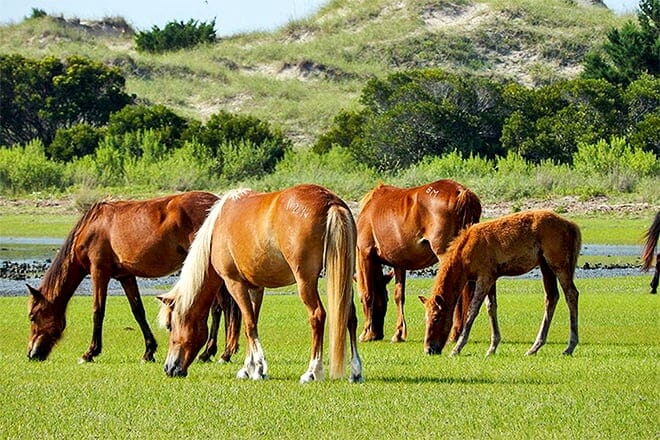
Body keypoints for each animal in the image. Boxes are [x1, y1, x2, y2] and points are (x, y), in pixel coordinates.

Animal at [27, 191, 241, 363]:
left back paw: (218, 353)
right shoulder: (126, 276)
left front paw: (90, 353)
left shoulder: (99, 272)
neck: (92, 227)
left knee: (221, 307)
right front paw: (149, 351)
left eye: (32, 316)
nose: (31, 354)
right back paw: (215, 352)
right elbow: (138, 311)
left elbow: (98, 311)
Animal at [159, 184, 363, 383]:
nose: (169, 368)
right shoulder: (255, 288)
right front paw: (247, 368)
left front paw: (258, 368)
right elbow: (252, 323)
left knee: (317, 315)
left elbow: (249, 324)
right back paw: (355, 371)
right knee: (350, 317)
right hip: (343, 278)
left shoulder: (235, 284)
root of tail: (330, 201)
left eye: (171, 326)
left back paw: (312, 371)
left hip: (305, 281)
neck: (217, 228)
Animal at [355, 179, 482, 343]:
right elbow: (399, 296)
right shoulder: (399, 264)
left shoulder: (365, 255)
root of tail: (461, 191)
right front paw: (398, 333)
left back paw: (454, 333)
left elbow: (367, 293)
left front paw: (365, 333)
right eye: (385, 298)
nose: (378, 334)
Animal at [418, 210, 581, 357]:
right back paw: (534, 347)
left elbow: (473, 310)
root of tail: (572, 226)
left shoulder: (484, 276)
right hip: (545, 265)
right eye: (425, 318)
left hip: (558, 263)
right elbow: (491, 307)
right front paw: (492, 347)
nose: (429, 349)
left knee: (571, 294)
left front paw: (457, 348)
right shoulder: (492, 277)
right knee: (551, 297)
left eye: (436, 317)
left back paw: (570, 347)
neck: (464, 253)